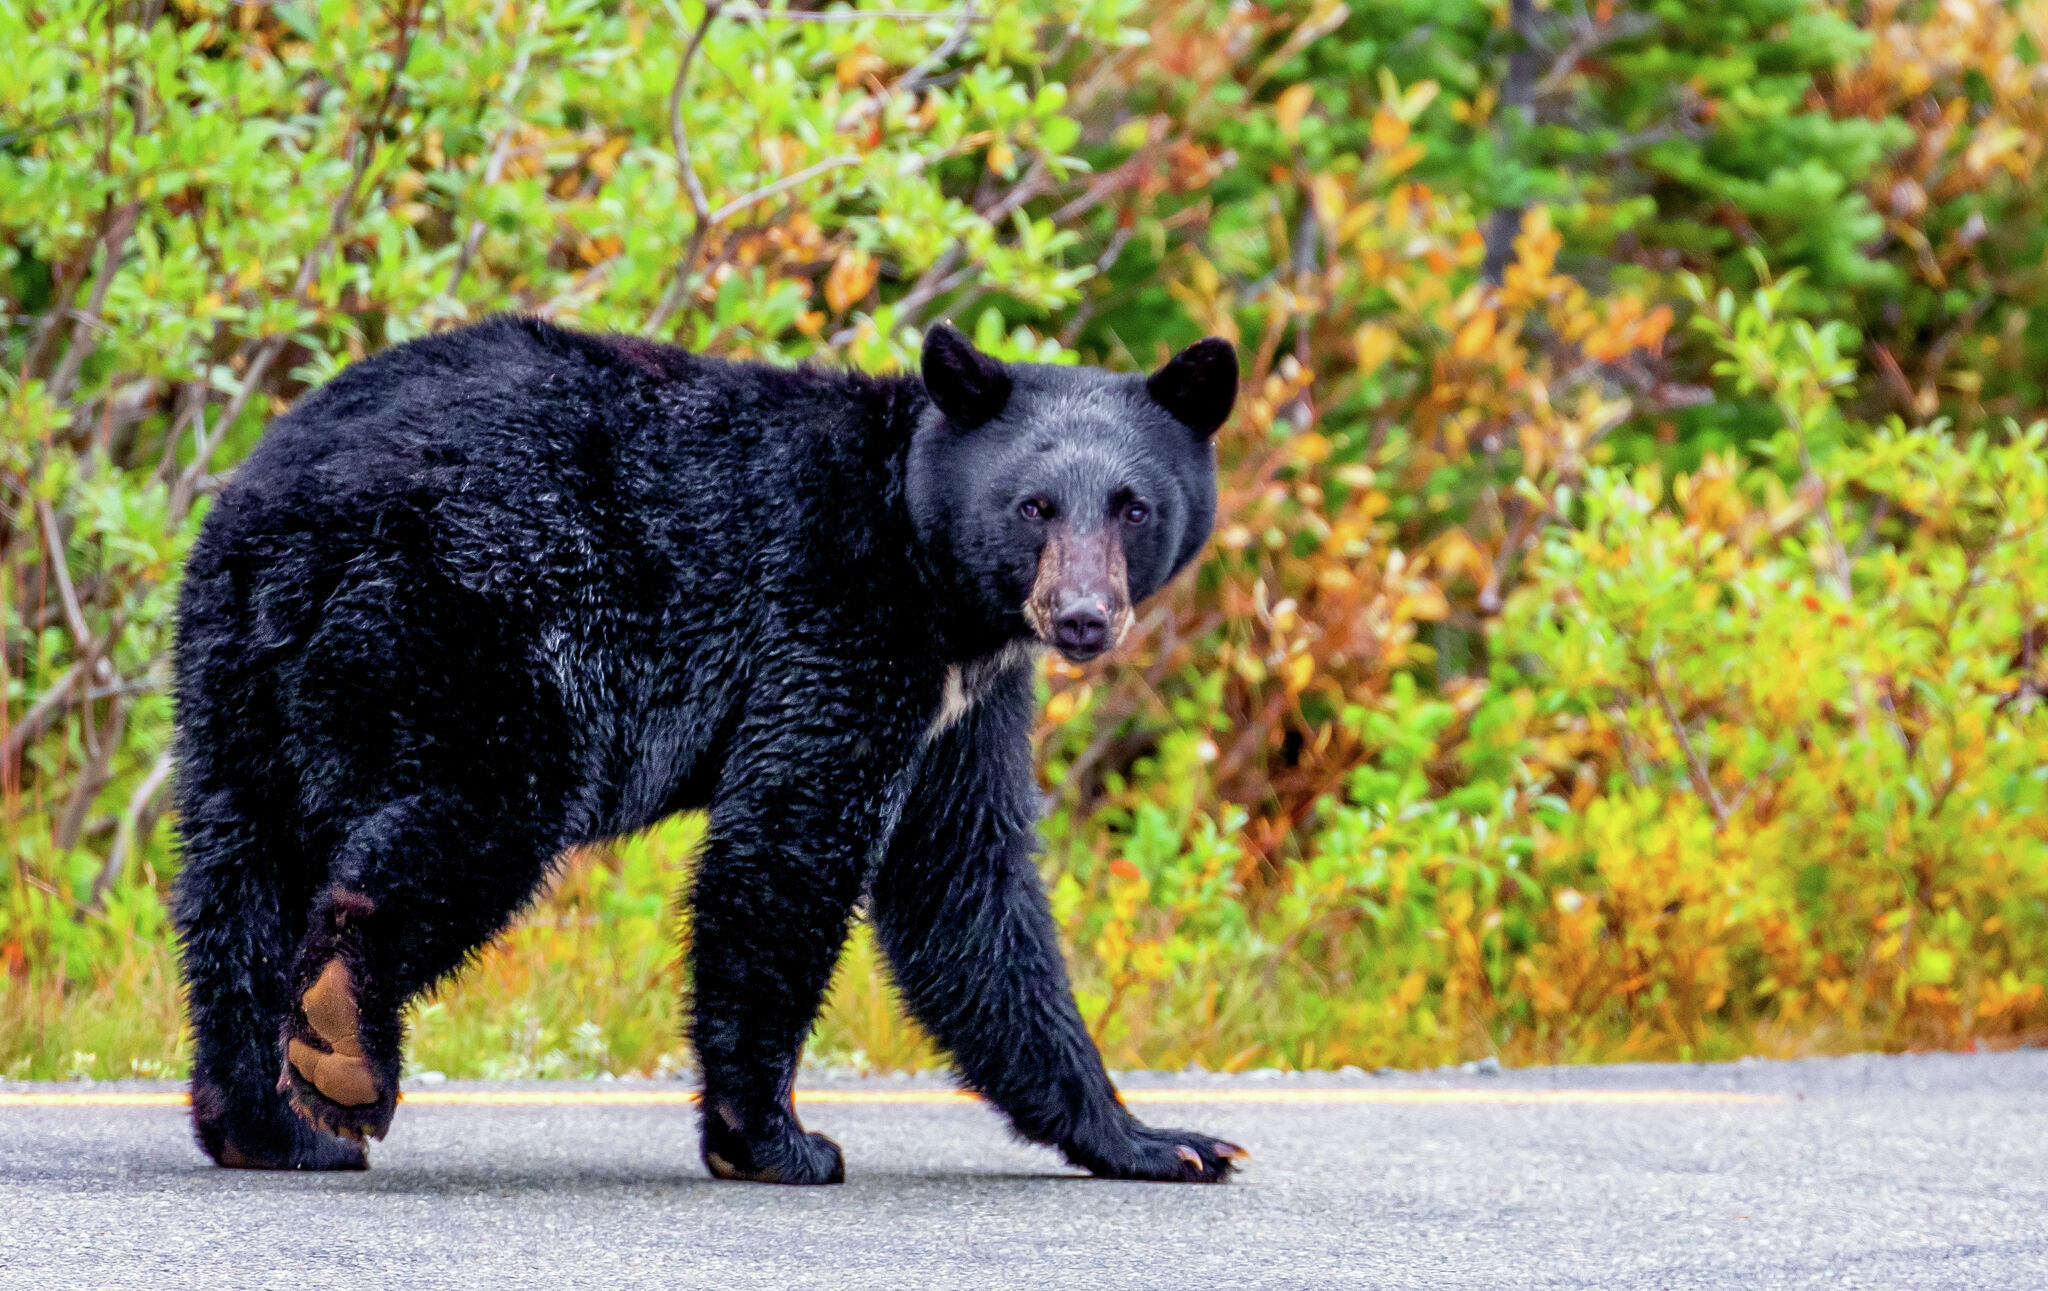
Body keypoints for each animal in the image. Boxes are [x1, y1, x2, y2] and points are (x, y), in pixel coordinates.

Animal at [169, 315, 1241, 1184]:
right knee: (477, 815)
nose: (1083, 616)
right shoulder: (836, 622)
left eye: (1133, 506)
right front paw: (772, 1138)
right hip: (474, 624)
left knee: (238, 878)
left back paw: (271, 1125)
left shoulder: (963, 705)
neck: (927, 565)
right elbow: (790, 843)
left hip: (233, 675)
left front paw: (1155, 1138)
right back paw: (345, 1042)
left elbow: (966, 886)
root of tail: (291, 510)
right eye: (1035, 506)